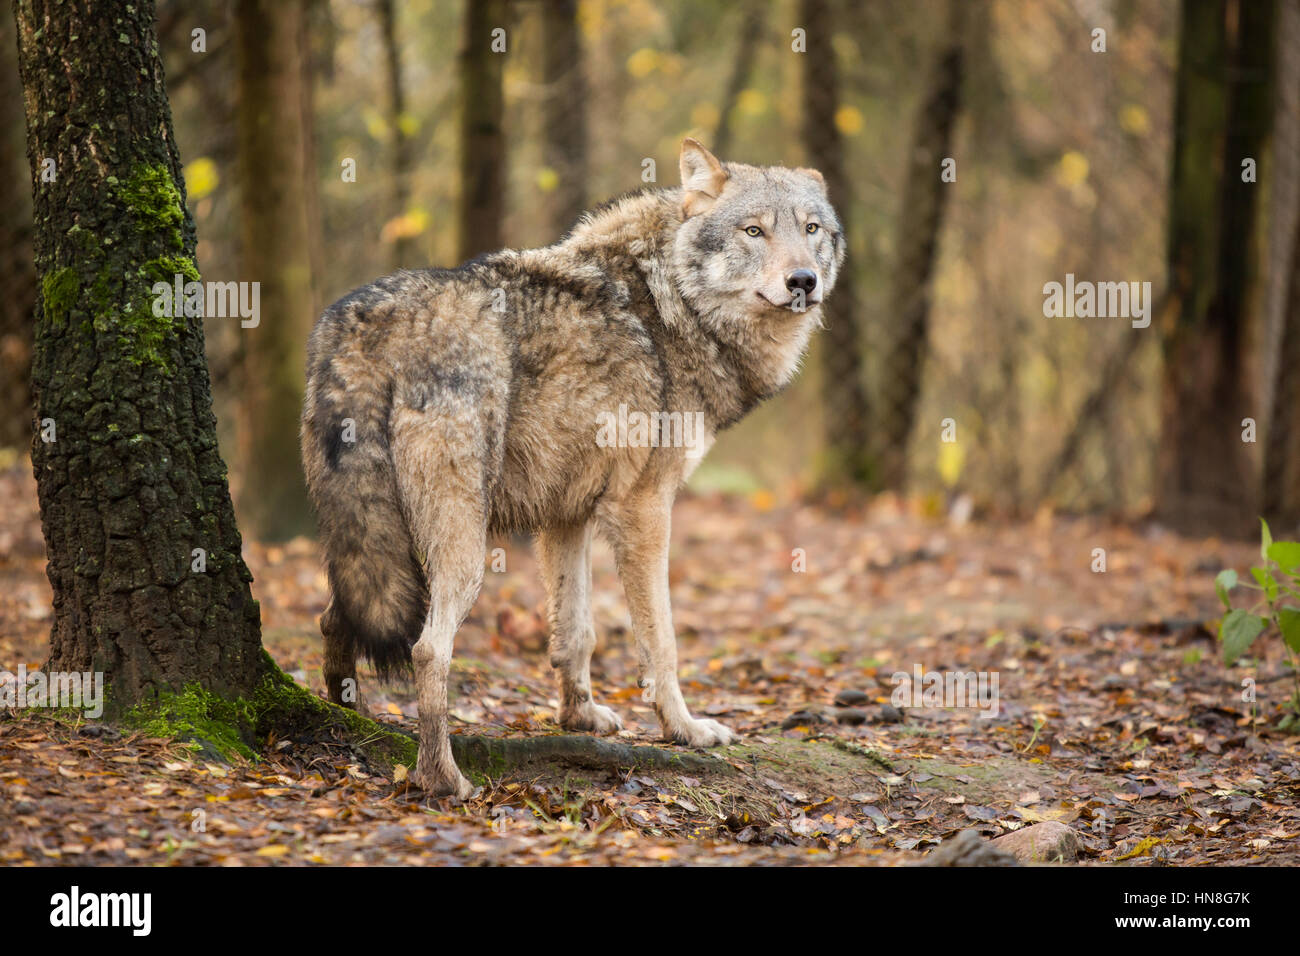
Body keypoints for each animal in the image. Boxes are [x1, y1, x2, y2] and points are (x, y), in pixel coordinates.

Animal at [301, 139, 844, 797]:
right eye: (754, 231)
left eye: (810, 229)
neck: (675, 304)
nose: (803, 280)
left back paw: (349, 720)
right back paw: (445, 781)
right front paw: (684, 729)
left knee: (334, 617)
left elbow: (575, 633)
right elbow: (661, 640)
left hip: (368, 538)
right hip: (463, 549)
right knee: (428, 650)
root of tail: (363, 321)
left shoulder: (566, 516)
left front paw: (579, 717)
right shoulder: (644, 510)